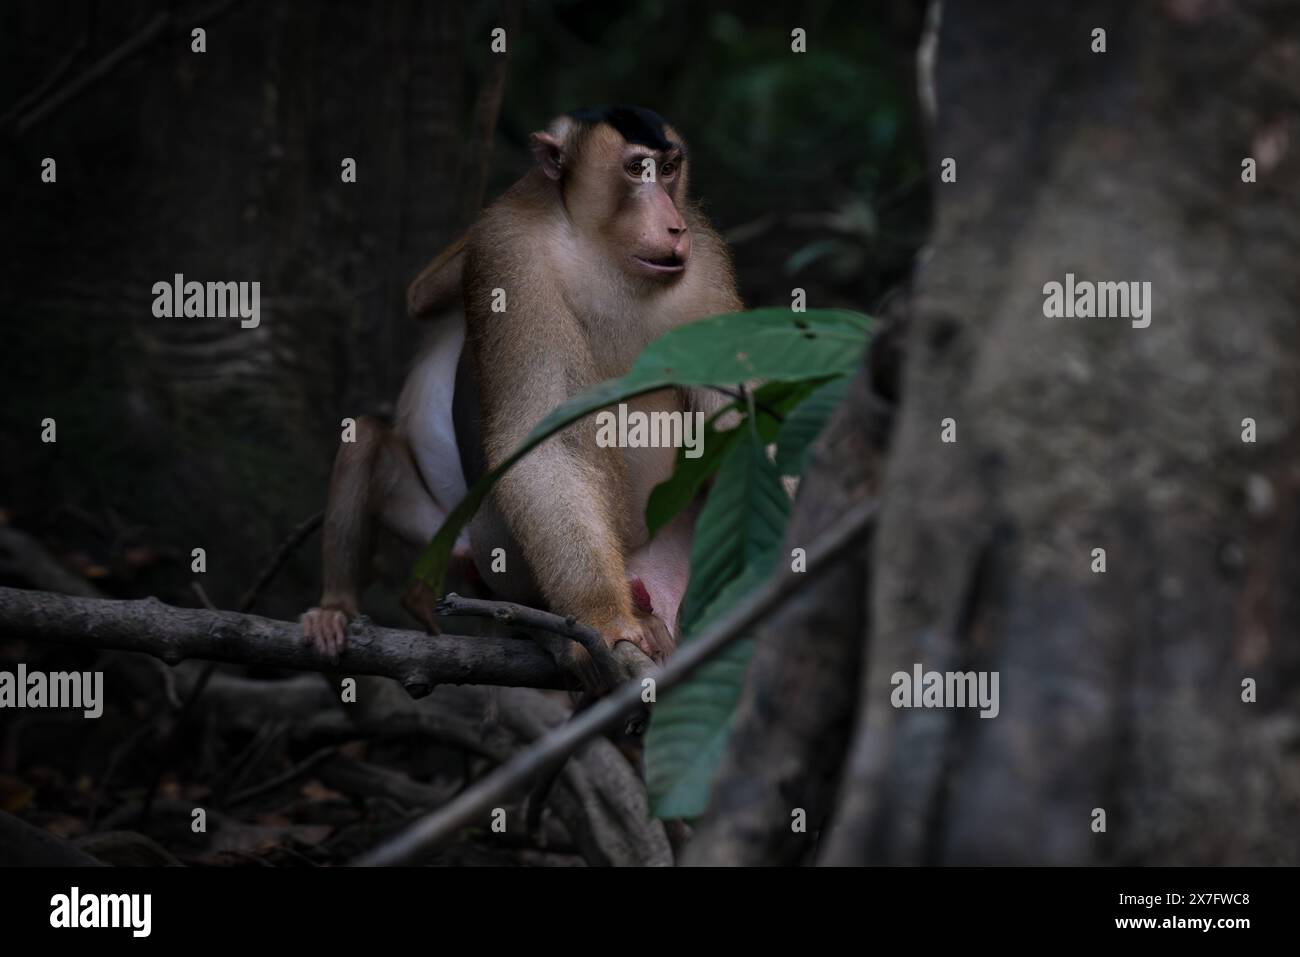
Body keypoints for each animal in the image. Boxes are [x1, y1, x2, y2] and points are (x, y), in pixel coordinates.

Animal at [302, 106, 742, 681]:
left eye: (668, 170)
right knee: (368, 440)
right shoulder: (510, 250)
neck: (600, 252)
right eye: (636, 169)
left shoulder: (705, 266)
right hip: (489, 543)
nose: (672, 225)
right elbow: (544, 442)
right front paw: (604, 621)